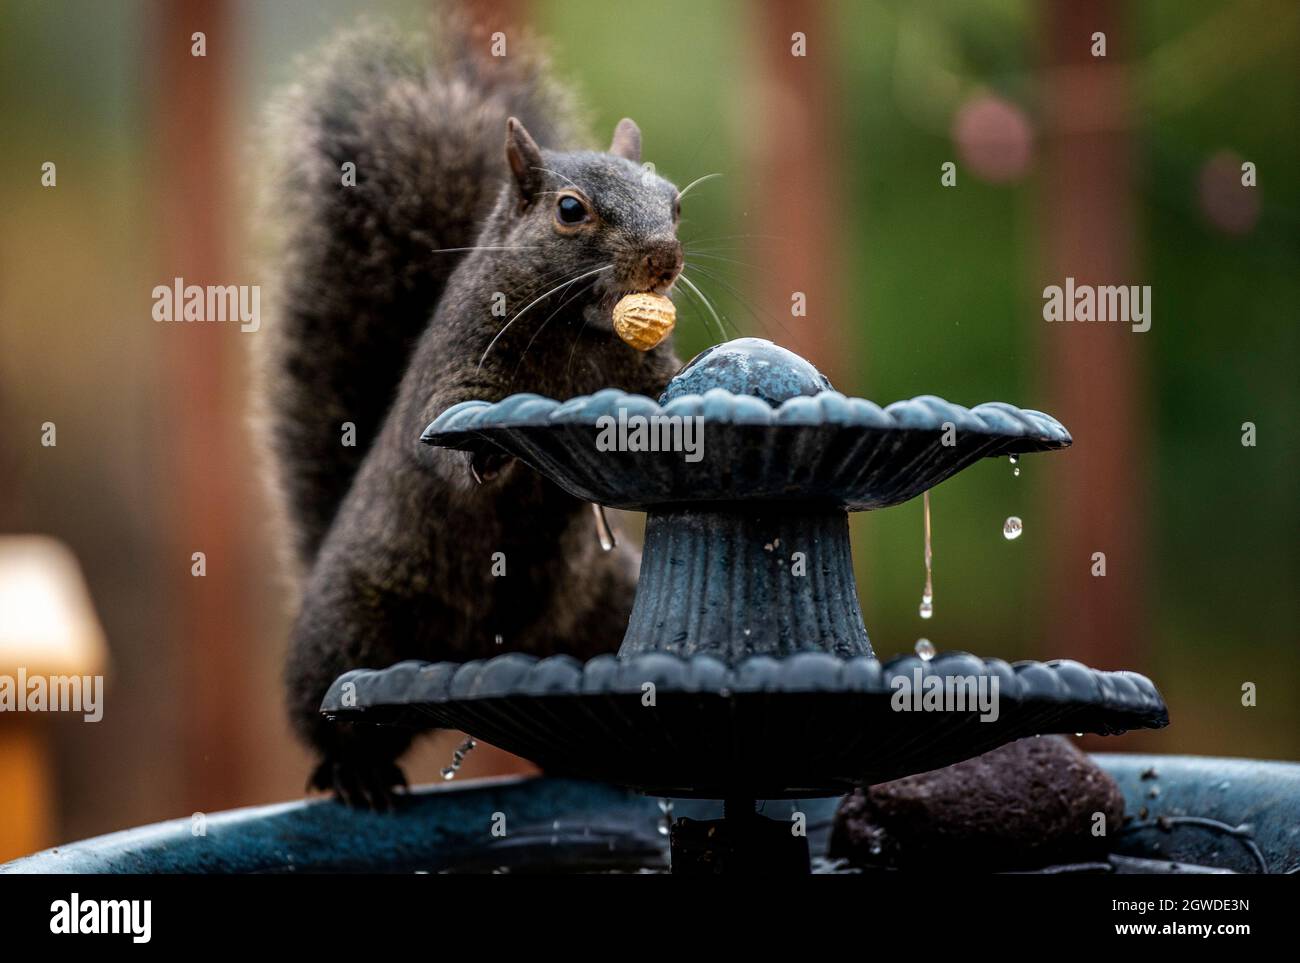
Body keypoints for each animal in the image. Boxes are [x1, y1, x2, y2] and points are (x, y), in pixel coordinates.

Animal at [254, 19, 685, 808]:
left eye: (674, 202)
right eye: (569, 210)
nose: (663, 260)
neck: (580, 327)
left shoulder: (644, 371)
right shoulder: (458, 363)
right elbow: (451, 418)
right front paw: (486, 453)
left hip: (606, 606)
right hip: (353, 631)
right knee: (330, 719)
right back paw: (357, 772)